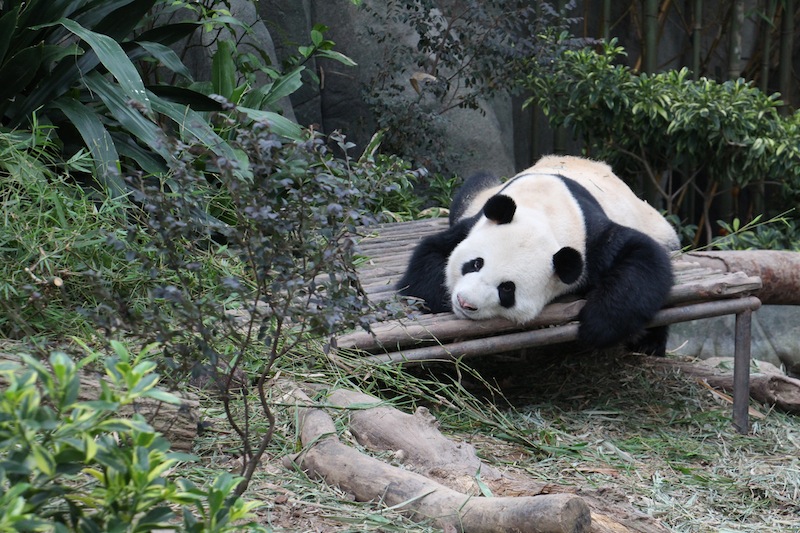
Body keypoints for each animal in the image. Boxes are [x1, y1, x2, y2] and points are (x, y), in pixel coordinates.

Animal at [396, 155, 680, 356]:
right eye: (475, 264)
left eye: (507, 289)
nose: (465, 303)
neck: (544, 212)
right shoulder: (473, 223)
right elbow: (431, 255)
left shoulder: (591, 241)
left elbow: (644, 256)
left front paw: (597, 325)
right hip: (475, 198)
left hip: (658, 225)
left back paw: (648, 344)